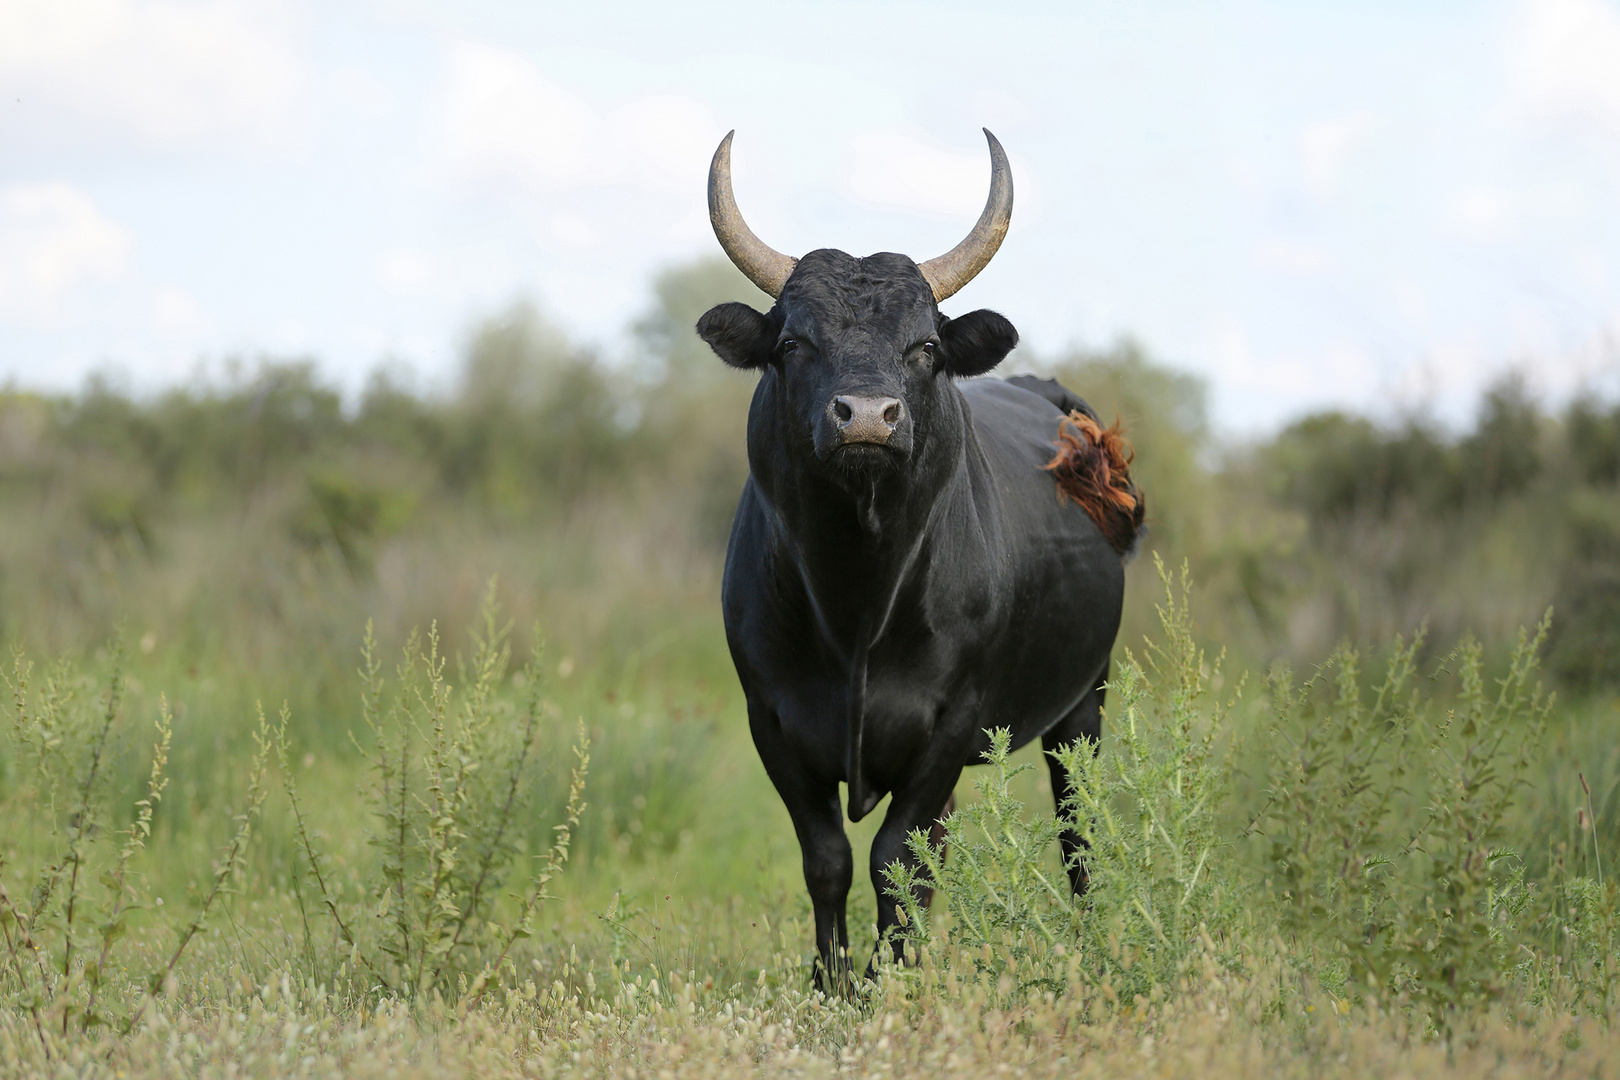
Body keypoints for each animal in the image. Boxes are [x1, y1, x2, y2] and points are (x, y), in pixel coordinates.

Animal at [696, 132, 1140, 990]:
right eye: (794, 342)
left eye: (926, 345)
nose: (868, 416)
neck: (857, 602)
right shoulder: (772, 722)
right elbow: (830, 861)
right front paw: (834, 985)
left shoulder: (951, 724)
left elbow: (893, 861)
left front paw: (889, 982)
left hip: (1083, 707)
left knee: (1078, 833)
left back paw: (1086, 944)